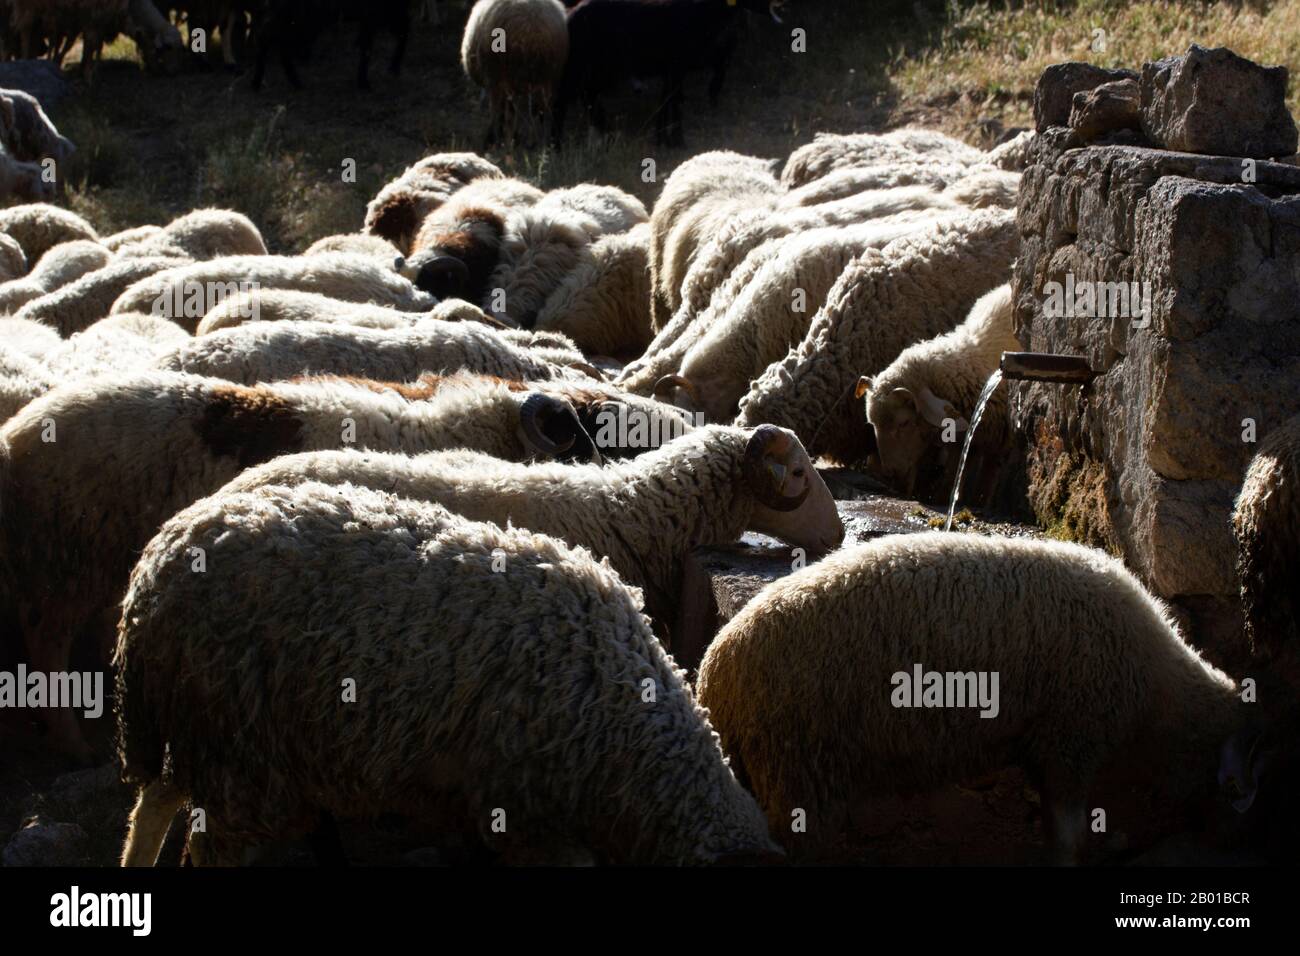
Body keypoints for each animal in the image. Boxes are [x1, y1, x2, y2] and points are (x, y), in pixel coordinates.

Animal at [115, 481, 779, 866]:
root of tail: (155, 562)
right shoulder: (526, 807)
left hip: (192, 721)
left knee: (153, 803)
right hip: (235, 741)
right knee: (208, 843)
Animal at [461, 0, 569, 148]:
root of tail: (532, 34)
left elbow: (505, 111)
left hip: (501, 74)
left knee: (498, 109)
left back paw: (497, 139)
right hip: (547, 76)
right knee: (545, 111)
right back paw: (543, 143)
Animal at [555, 0, 785, 148]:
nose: (782, 3)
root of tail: (569, 15)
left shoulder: (673, 70)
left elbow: (667, 101)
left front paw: (664, 139)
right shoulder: (676, 66)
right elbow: (674, 102)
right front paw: (677, 141)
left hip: (600, 71)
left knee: (588, 97)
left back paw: (602, 135)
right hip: (582, 66)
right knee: (562, 101)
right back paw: (556, 146)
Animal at [696, 531, 1248, 862]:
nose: (1225, 836)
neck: (1156, 693)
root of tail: (714, 671)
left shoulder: (1045, 743)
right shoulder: (1071, 738)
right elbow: (1068, 830)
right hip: (798, 767)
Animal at [860, 284, 1017, 502]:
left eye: (904, 422)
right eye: (873, 424)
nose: (890, 474)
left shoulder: (999, 438)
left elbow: (987, 477)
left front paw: (981, 501)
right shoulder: (969, 437)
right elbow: (955, 471)